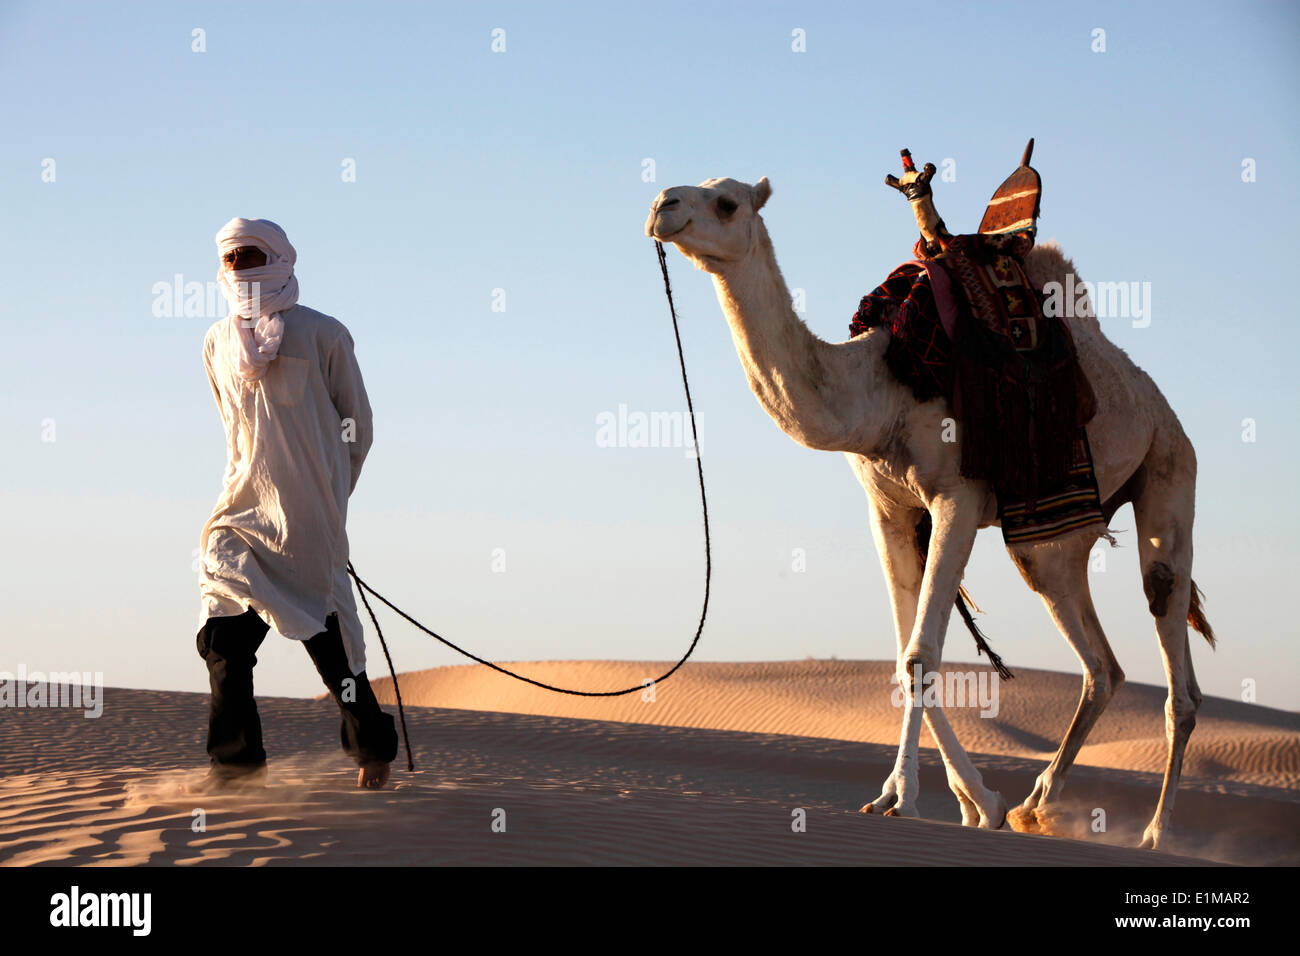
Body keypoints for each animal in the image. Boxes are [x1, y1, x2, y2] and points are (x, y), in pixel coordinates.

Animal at [644, 175, 1214, 849]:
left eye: (726, 202)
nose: (662, 206)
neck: (881, 386)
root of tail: (1159, 404)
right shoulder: (888, 508)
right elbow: (903, 650)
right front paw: (976, 803)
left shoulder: (956, 497)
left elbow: (920, 654)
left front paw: (906, 800)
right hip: (1048, 546)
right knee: (1102, 666)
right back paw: (1036, 805)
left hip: (1169, 471)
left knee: (1177, 666)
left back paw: (1154, 834)